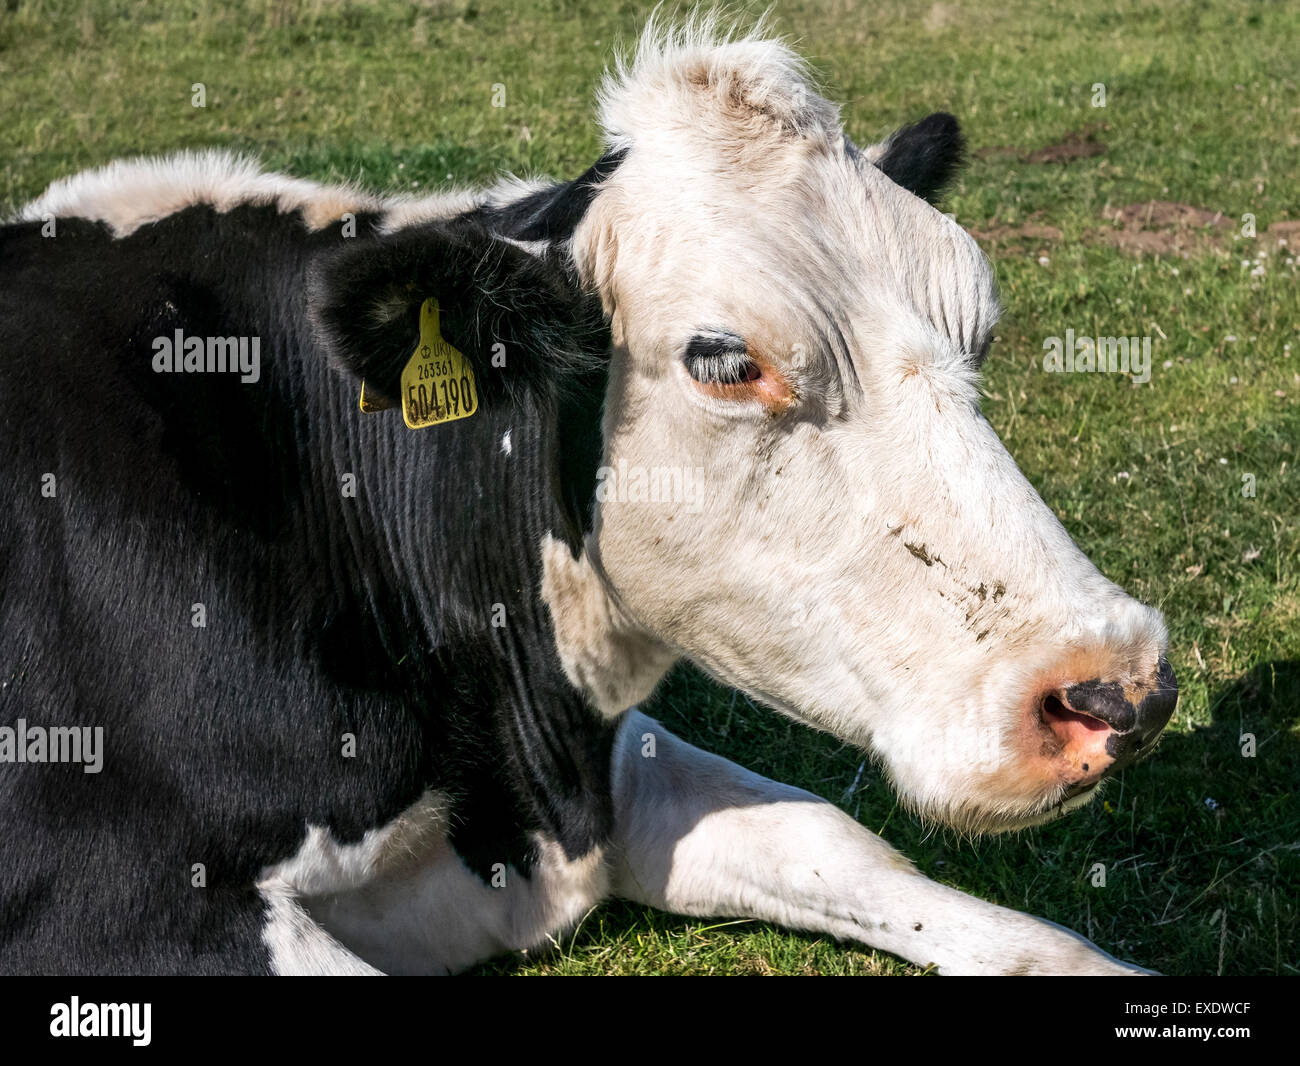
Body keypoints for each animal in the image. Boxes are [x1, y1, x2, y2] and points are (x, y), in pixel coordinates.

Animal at [0, 18, 1177, 975]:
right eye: (724, 360)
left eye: (982, 329)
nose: (1114, 689)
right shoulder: (120, 897)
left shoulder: (605, 767)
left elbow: (848, 846)